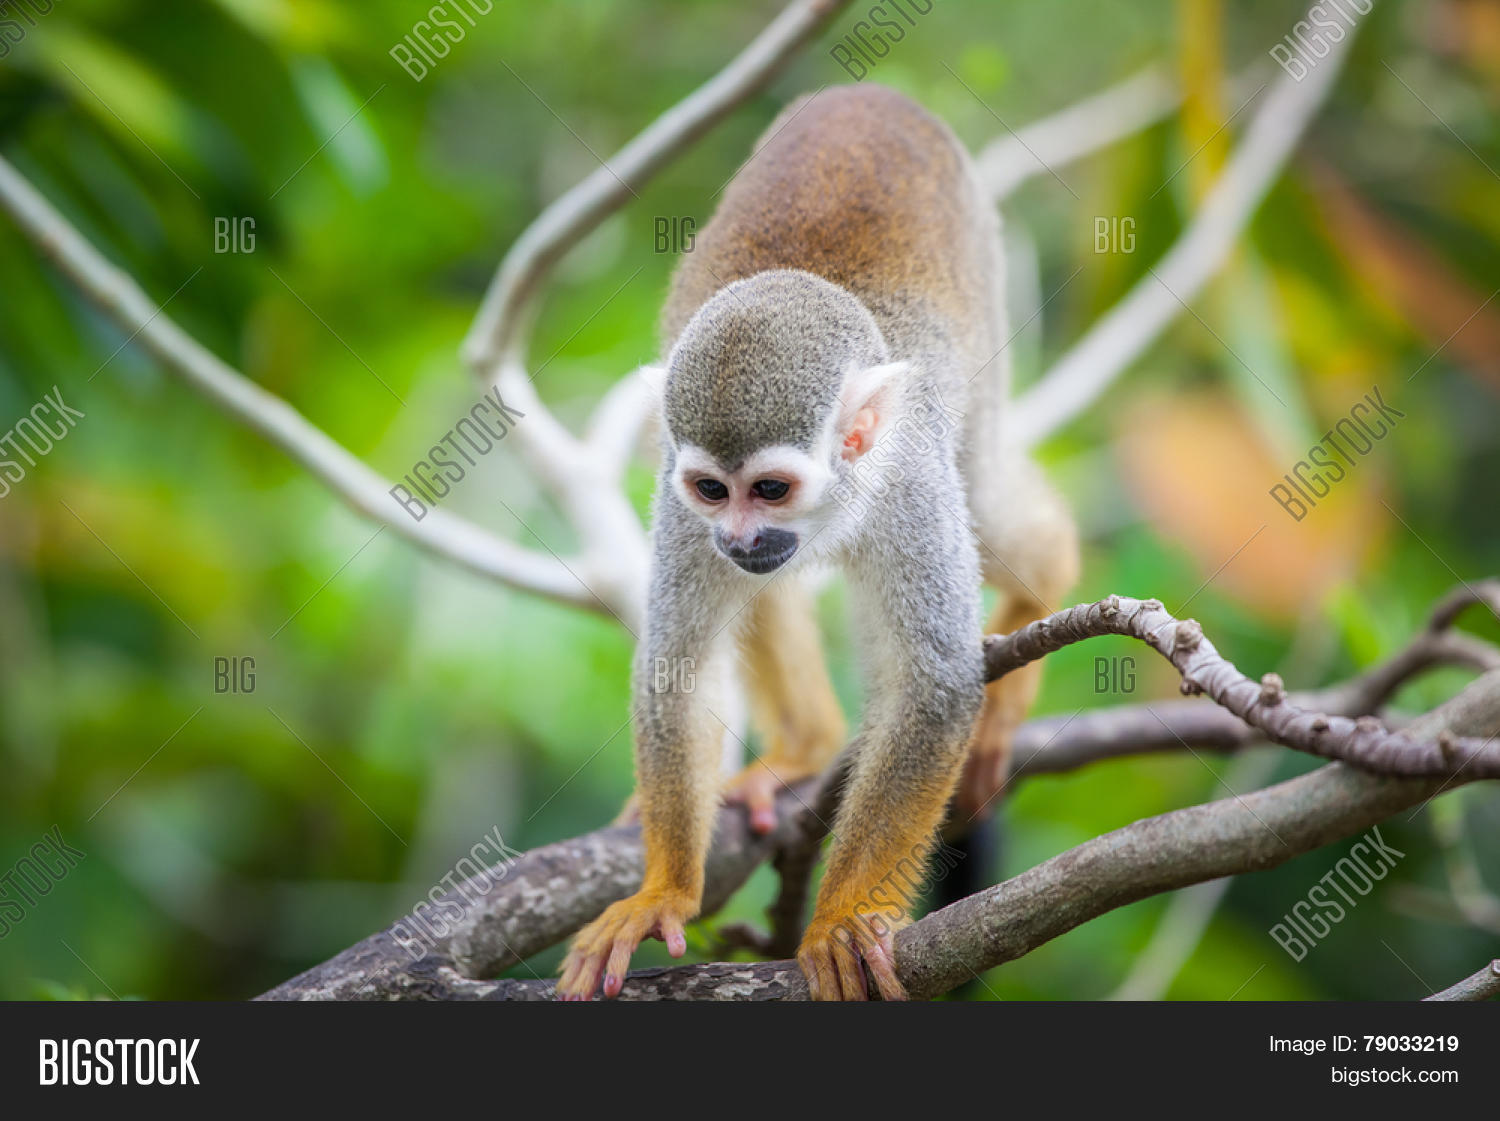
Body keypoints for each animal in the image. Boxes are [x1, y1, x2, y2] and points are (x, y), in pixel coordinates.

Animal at [556, 84, 1077, 1001]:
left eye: (770, 488)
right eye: (713, 488)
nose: (739, 532)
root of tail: (873, 92)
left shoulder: (909, 483)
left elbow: (932, 684)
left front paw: (840, 920)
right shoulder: (676, 497)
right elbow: (679, 665)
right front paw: (663, 891)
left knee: (984, 491)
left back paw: (1043, 582)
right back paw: (806, 745)